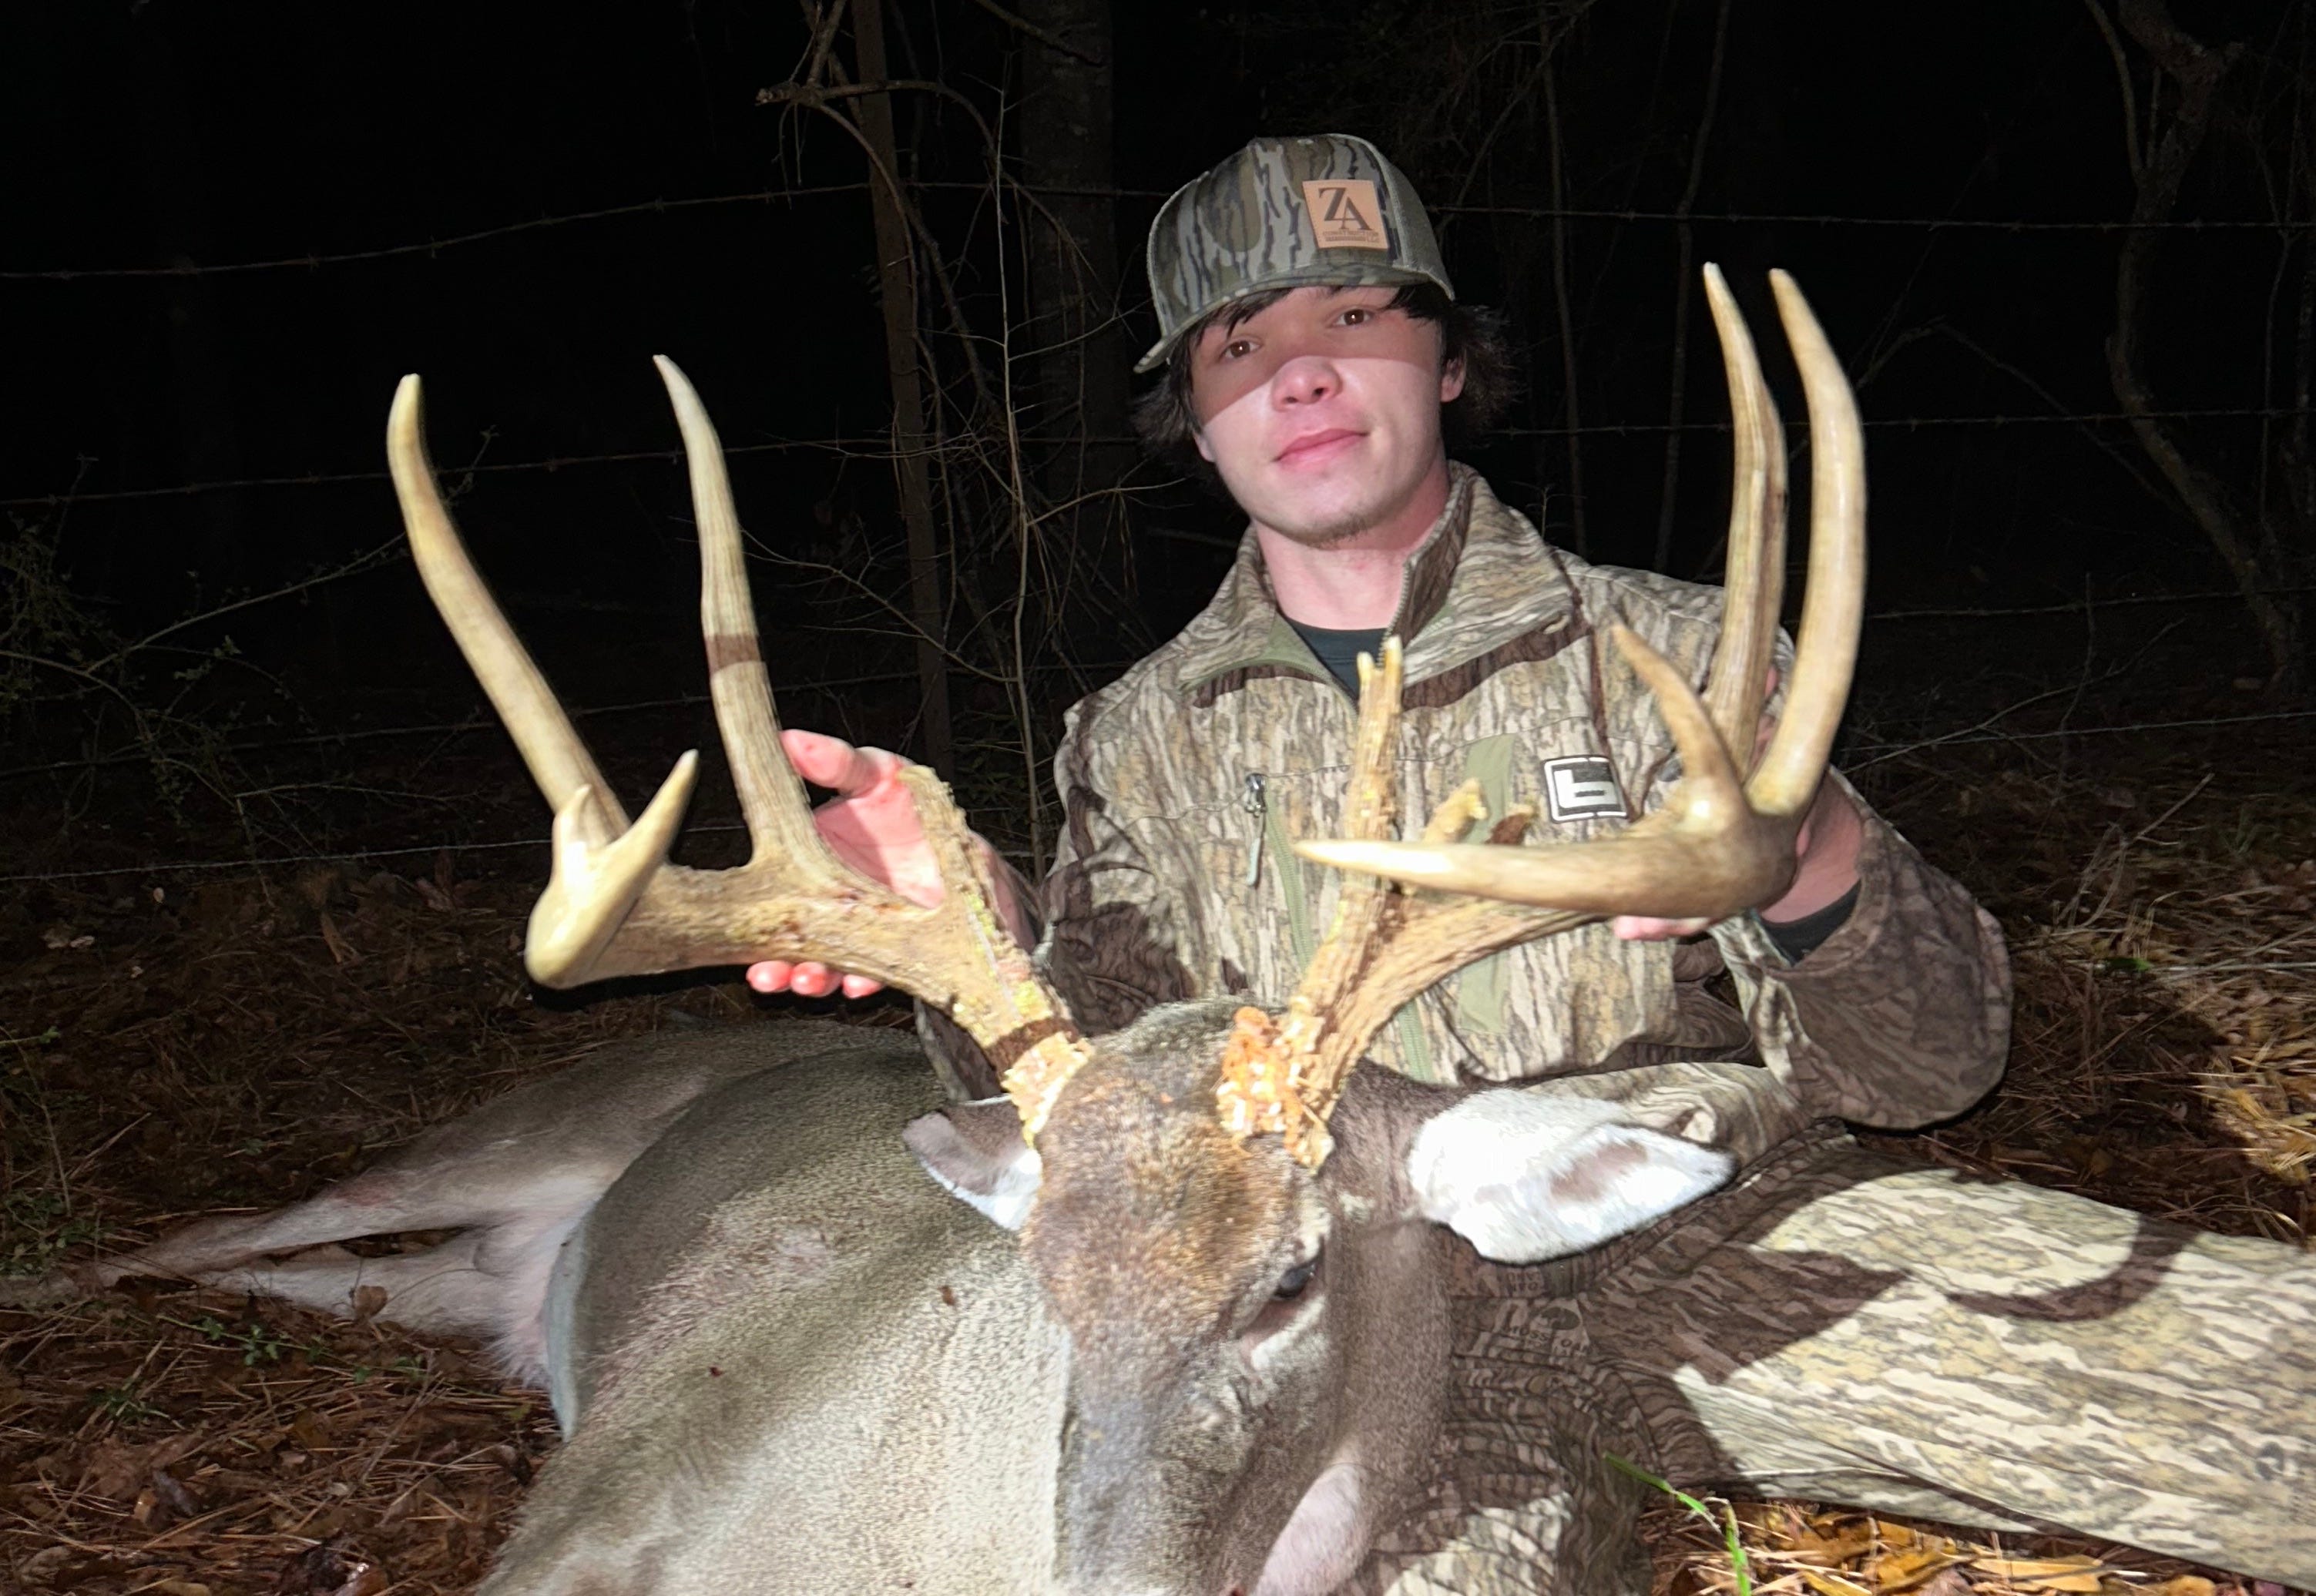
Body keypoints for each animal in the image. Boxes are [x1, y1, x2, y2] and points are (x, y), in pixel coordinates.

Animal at [13, 267, 1863, 1595]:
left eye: (1293, 1277)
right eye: (1042, 1271)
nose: (1109, 1588)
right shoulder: (595, 1517)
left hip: (455, 1282)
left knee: (342, 1276)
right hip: (508, 1126)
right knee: (221, 1226)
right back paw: (50, 1275)